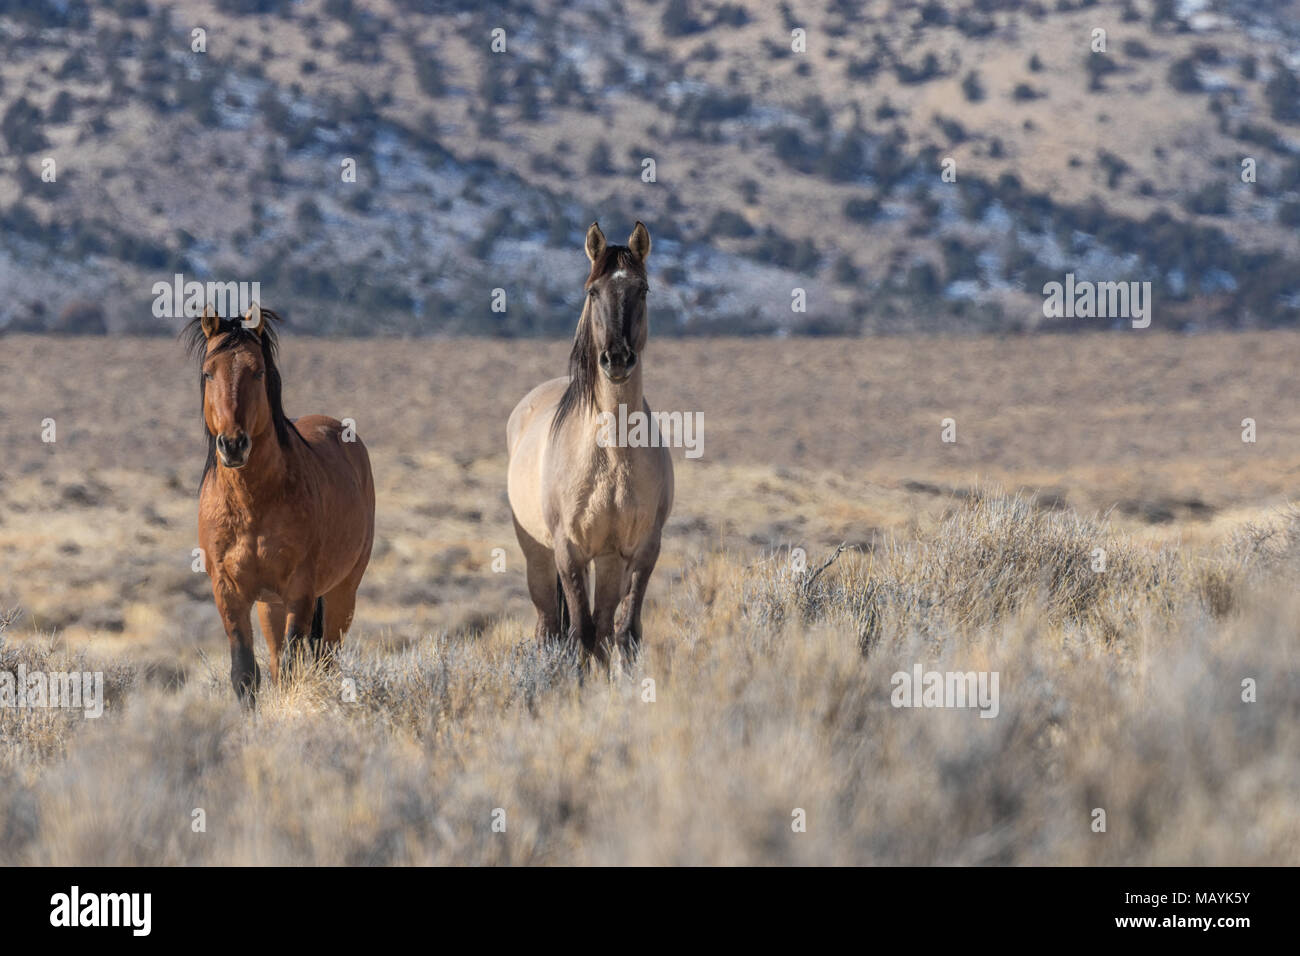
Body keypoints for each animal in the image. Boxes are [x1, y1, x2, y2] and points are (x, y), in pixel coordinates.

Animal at [185, 303, 375, 706]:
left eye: (257, 371)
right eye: (208, 372)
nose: (233, 444)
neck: (251, 504)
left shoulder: (300, 592)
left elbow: (291, 668)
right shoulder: (230, 594)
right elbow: (245, 672)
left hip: (341, 594)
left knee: (324, 659)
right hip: (269, 605)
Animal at [506, 221, 674, 663]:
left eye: (642, 289)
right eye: (592, 291)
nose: (616, 358)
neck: (612, 453)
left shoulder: (641, 550)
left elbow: (624, 632)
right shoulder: (570, 551)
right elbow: (579, 633)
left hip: (610, 561)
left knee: (602, 629)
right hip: (538, 556)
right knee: (550, 627)